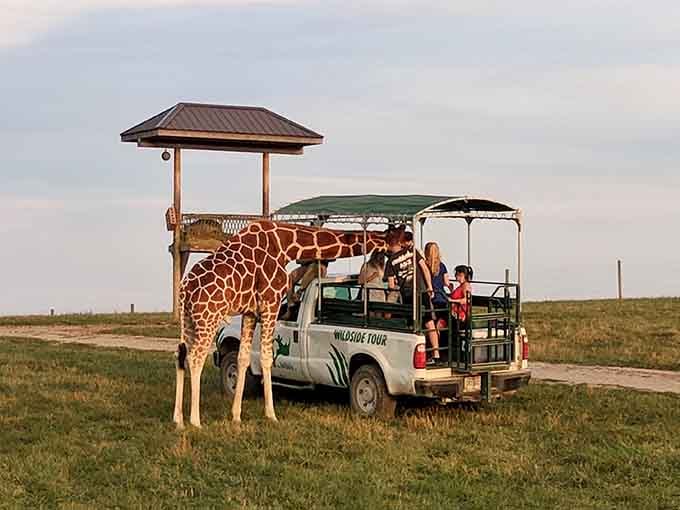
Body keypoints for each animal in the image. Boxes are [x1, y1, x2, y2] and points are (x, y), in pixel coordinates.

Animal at [172, 220, 400, 428]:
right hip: (207, 318)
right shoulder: (270, 302)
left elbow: (243, 358)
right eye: (398, 237)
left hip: (189, 320)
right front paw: (271, 414)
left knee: (181, 356)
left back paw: (178, 420)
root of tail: (184, 289)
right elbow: (266, 358)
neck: (285, 244)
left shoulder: (250, 312)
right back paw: (195, 421)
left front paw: (236, 416)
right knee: (195, 358)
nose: (403, 245)